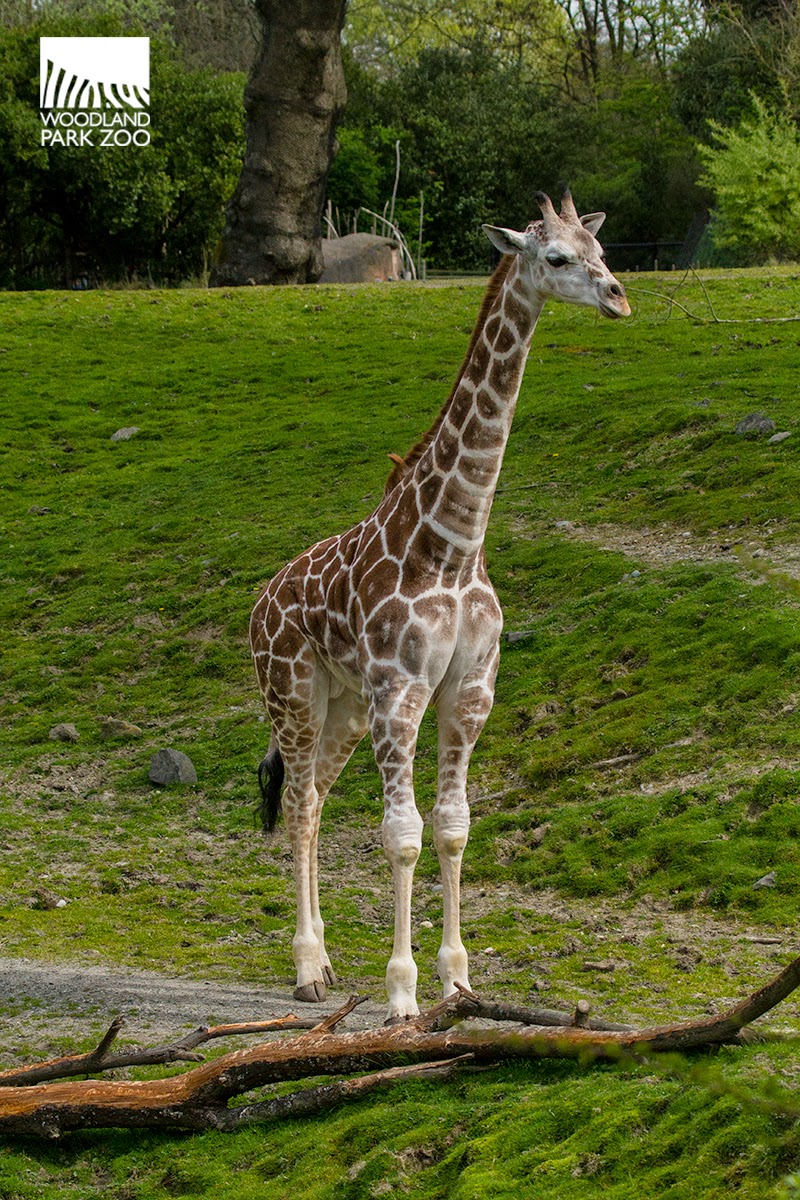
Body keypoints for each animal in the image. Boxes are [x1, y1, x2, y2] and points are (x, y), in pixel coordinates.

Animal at [249, 190, 630, 1023]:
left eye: (601, 249)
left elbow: (453, 828)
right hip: (292, 691)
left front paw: (458, 981)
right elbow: (402, 834)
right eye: (555, 256)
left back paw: (327, 964)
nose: (619, 298)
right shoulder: (401, 690)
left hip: (342, 707)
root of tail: (260, 601)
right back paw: (306, 968)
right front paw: (402, 993)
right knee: (297, 804)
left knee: (314, 797)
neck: (452, 544)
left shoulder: (470, 687)